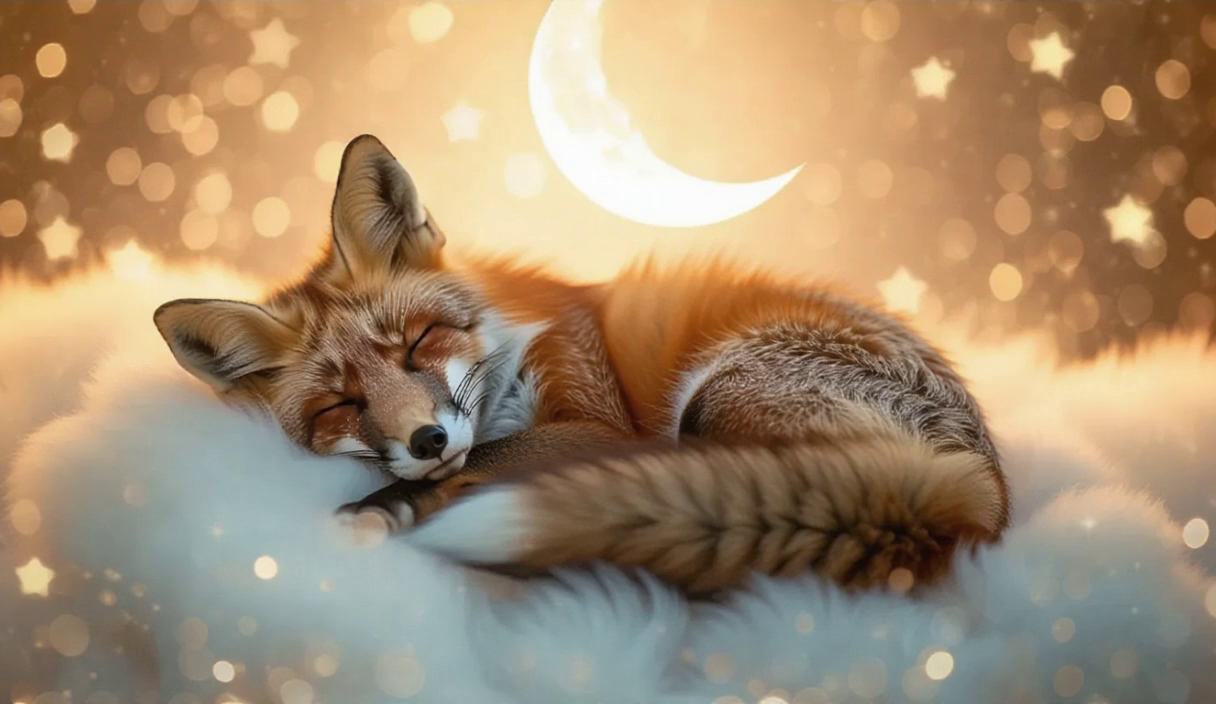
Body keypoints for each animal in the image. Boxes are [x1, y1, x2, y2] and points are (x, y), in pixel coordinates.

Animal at [154, 134, 1009, 596]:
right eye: (340, 403)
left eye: (418, 343)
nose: (428, 441)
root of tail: (976, 498)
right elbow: (471, 462)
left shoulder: (600, 423)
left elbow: (492, 456)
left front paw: (381, 507)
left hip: (712, 400)